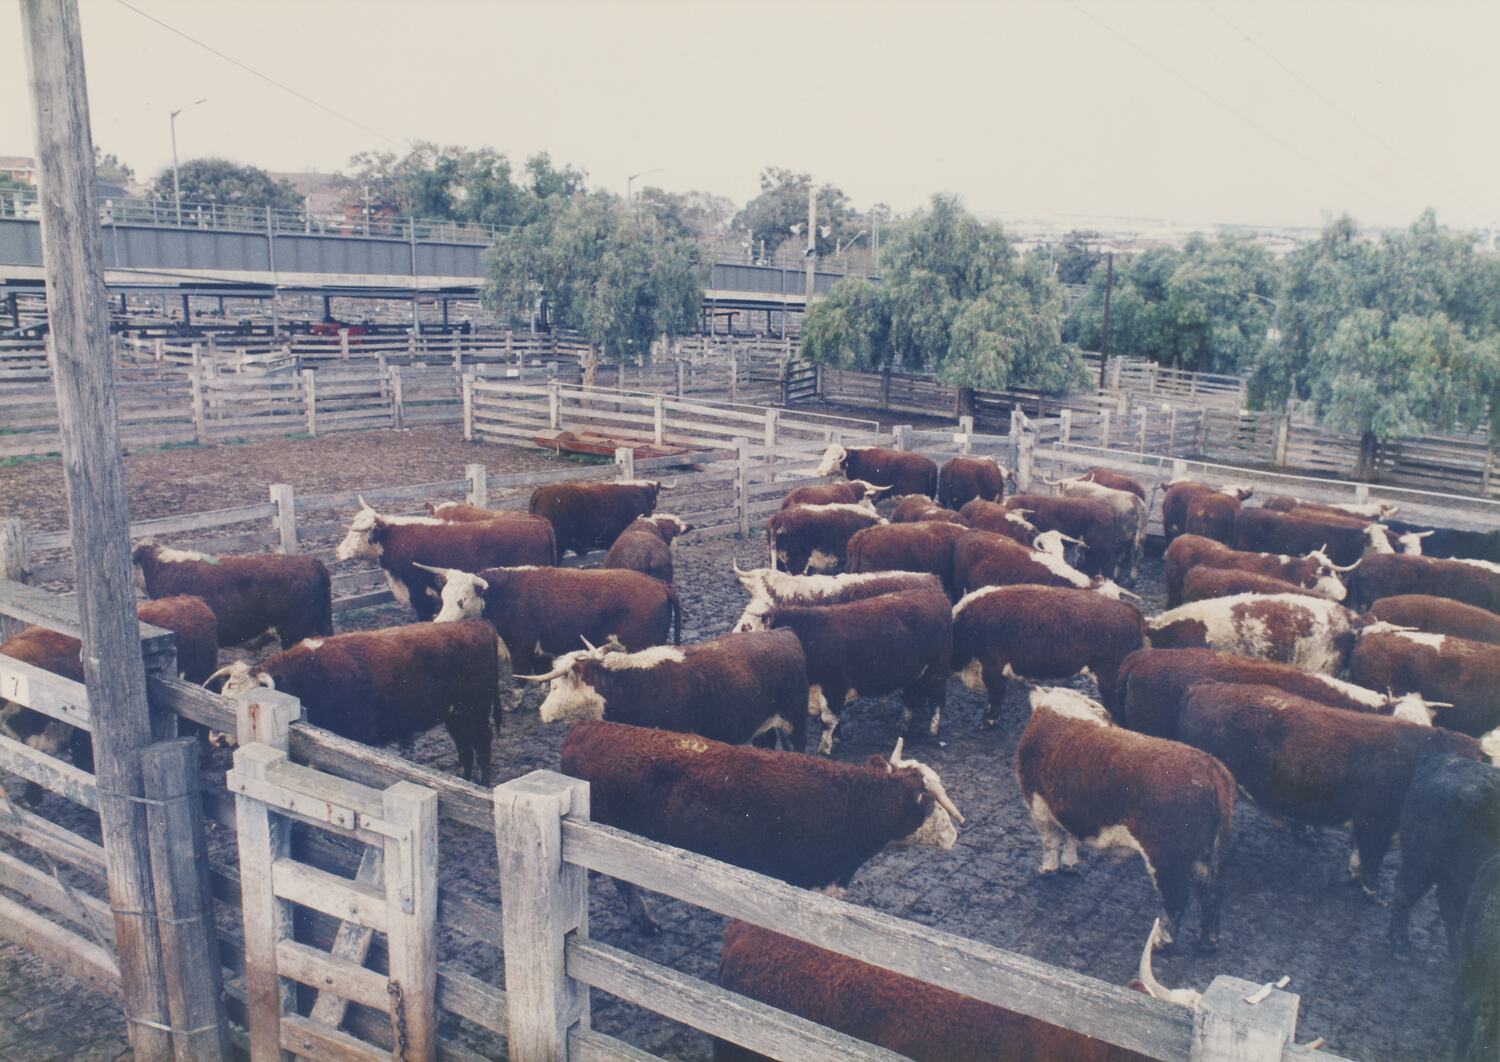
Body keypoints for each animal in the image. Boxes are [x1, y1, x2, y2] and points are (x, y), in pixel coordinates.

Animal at [208, 620, 501, 783]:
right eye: (224, 696)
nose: (217, 738)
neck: (307, 674)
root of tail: (476, 624)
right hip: (455, 715)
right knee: (465, 746)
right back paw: (464, 779)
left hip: (475, 711)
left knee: (483, 742)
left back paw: (483, 783)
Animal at [423, 565, 680, 677]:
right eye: (443, 596)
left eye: (462, 600)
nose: (440, 623)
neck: (504, 593)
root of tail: (659, 584)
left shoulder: (520, 647)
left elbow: (519, 678)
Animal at [755, 588, 952, 753]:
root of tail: (935, 593)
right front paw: (836, 740)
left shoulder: (834, 688)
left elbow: (828, 720)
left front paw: (824, 749)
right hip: (916, 674)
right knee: (912, 696)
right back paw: (903, 724)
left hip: (937, 671)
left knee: (937, 700)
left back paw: (933, 731)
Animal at [1017, 684, 1234, 952]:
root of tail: (1211, 768)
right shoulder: (1068, 809)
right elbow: (1070, 839)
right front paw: (1069, 864)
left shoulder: (1038, 804)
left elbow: (1050, 842)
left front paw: (1047, 869)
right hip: (1209, 856)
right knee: (1211, 894)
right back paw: (1207, 943)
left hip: (1165, 857)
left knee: (1177, 897)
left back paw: (1163, 941)